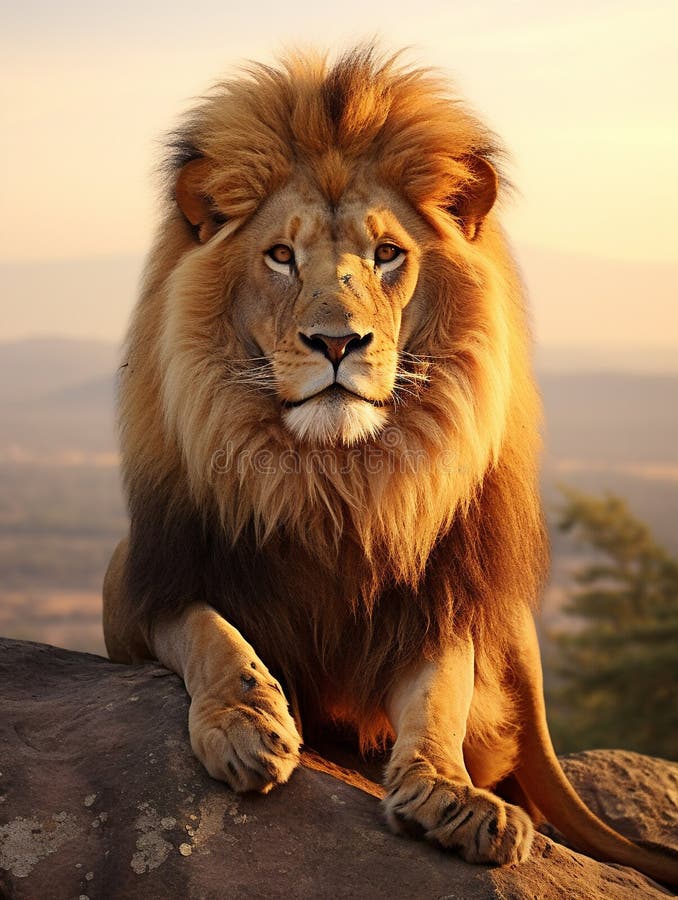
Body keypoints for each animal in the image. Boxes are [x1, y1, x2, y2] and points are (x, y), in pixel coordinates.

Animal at [103, 48, 678, 884]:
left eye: (386, 255)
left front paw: (449, 794)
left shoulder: (443, 604)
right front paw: (247, 722)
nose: (337, 343)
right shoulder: (147, 584)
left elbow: (440, 700)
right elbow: (213, 634)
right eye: (282, 256)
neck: (334, 481)